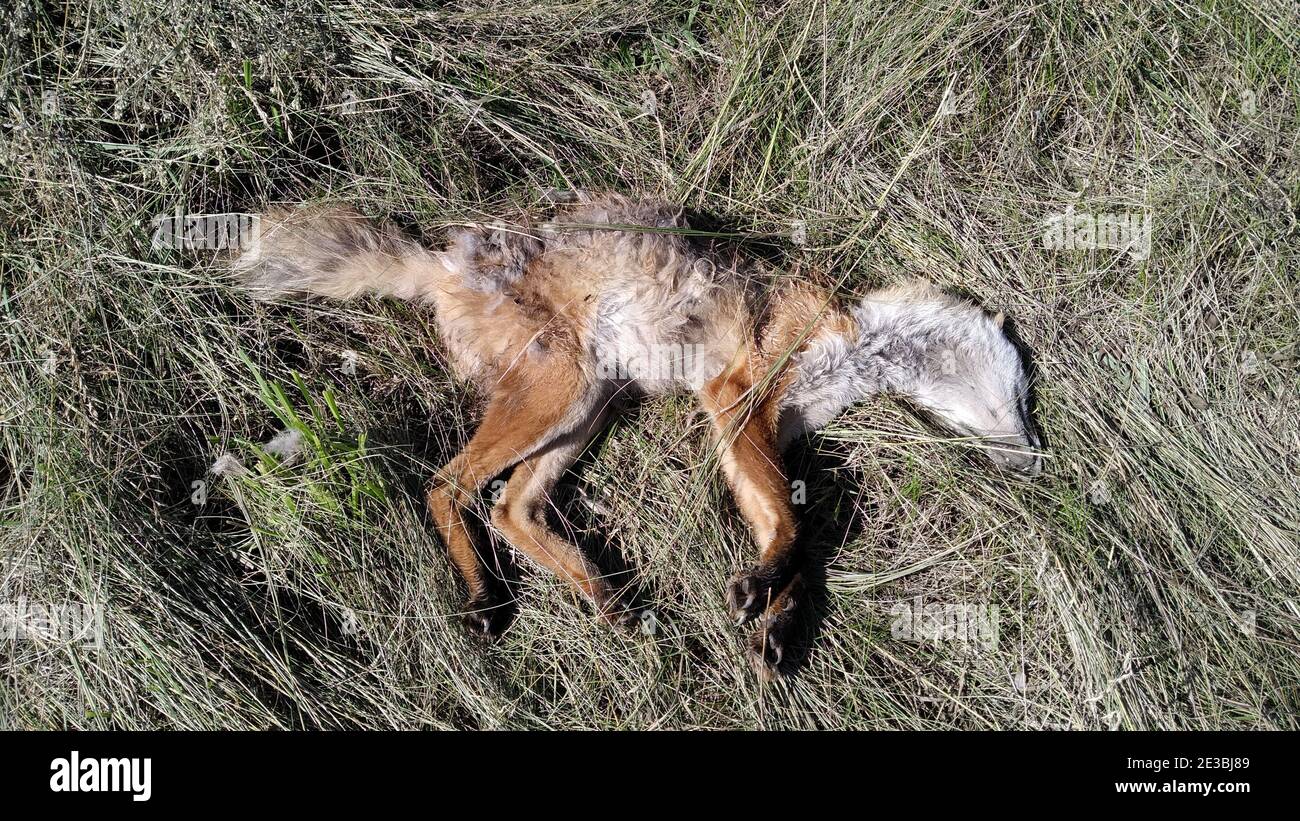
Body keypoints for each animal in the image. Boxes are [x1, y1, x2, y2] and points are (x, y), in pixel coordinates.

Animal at [233, 194, 1042, 677]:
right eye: (1023, 399)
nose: (1035, 461)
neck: (847, 343)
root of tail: (440, 260)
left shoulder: (762, 430)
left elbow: (794, 536)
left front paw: (776, 621)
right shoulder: (736, 400)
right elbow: (797, 525)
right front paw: (767, 595)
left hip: (585, 408)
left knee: (510, 507)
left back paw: (607, 600)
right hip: (558, 394)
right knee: (447, 484)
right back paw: (484, 599)